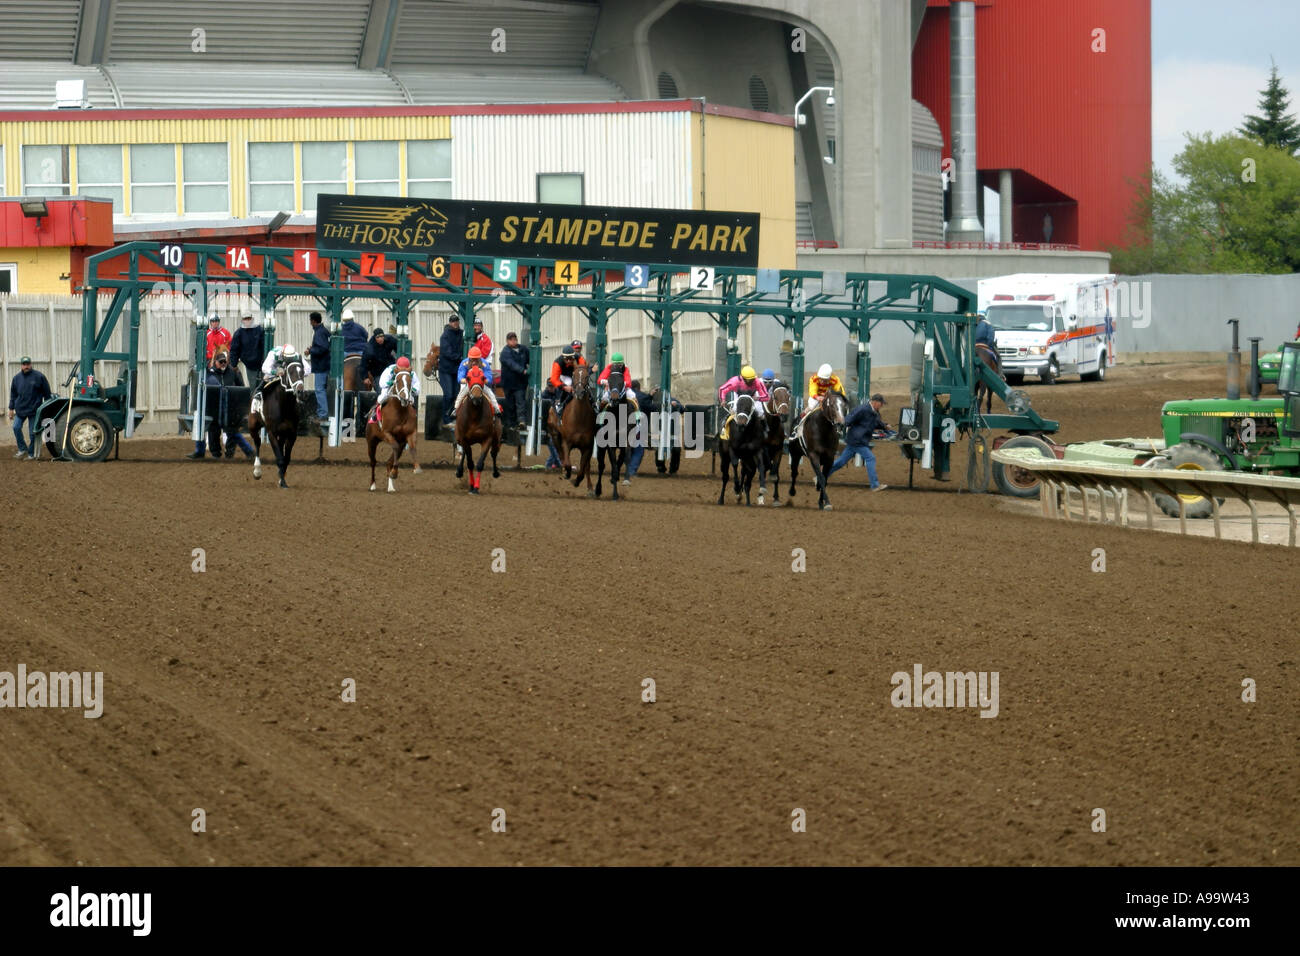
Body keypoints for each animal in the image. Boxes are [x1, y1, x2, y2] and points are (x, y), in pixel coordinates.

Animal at [246, 361, 302, 489]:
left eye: (302, 372)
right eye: (290, 372)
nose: (300, 390)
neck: (284, 405)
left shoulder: (292, 434)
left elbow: (286, 458)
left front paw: (281, 480)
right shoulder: (271, 432)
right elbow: (280, 458)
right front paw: (283, 482)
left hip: (282, 434)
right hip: (252, 425)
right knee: (257, 442)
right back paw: (257, 471)